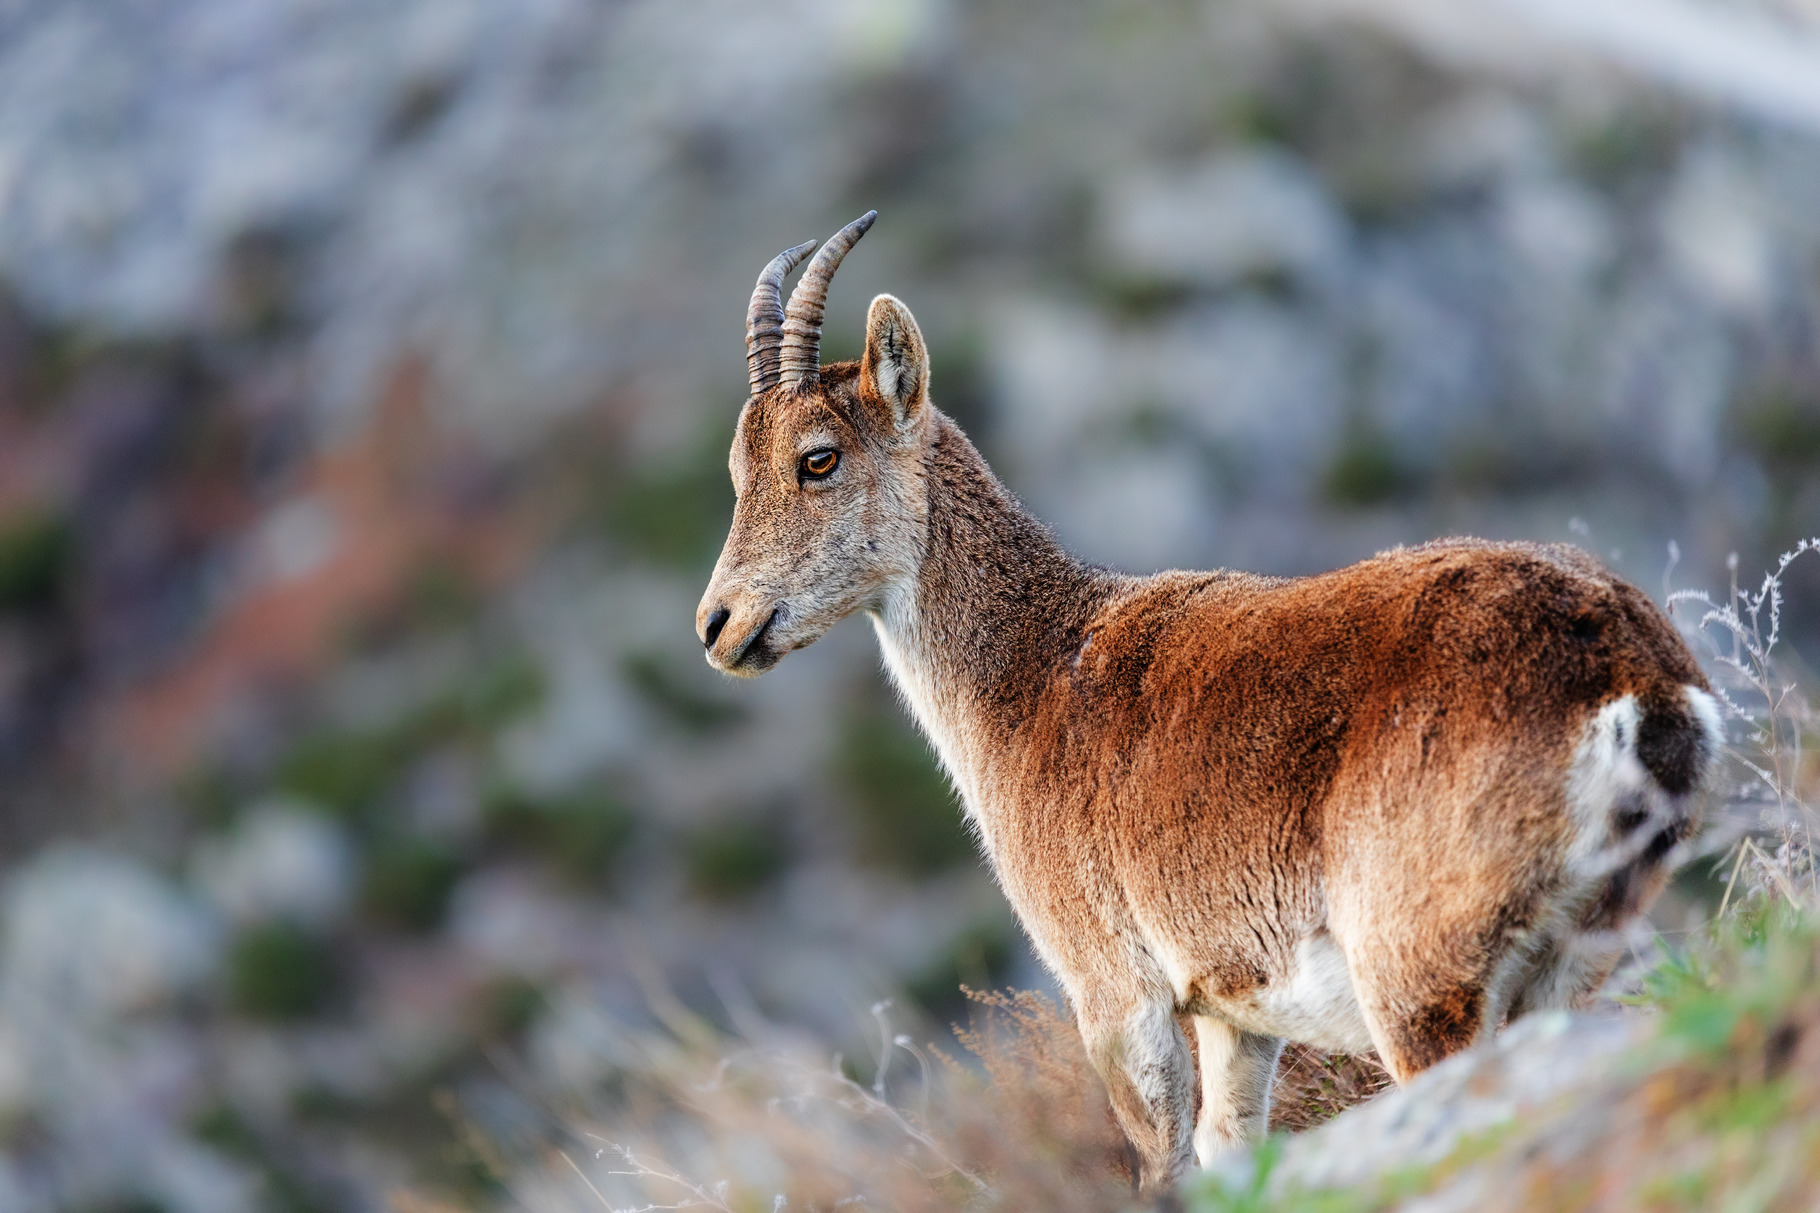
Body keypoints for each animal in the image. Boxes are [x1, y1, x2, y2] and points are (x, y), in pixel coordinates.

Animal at [695, 213, 1722, 1191]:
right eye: (739, 472)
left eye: (818, 458)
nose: (718, 623)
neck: (1031, 671)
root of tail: (1637, 680)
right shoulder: (1237, 1008)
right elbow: (1232, 1145)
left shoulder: (1117, 989)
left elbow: (1165, 1158)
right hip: (1576, 954)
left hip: (1424, 970)